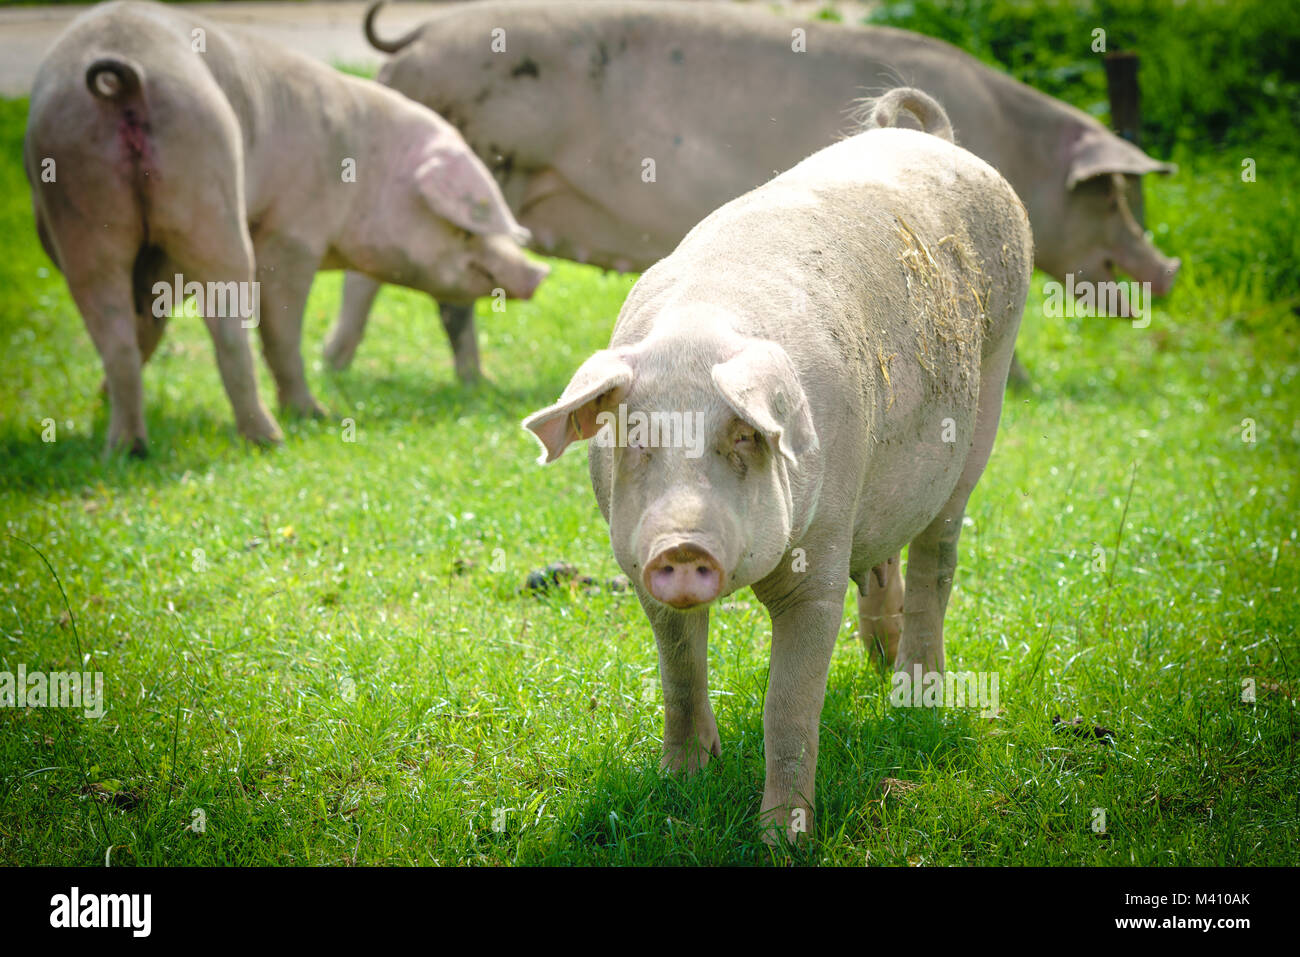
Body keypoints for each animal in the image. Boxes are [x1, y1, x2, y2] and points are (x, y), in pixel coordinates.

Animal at [24, 0, 547, 457]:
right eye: (466, 229)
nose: (537, 274)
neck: (362, 166)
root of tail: (123, 80)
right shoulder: (293, 229)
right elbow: (279, 326)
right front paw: (314, 416)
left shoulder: (162, 260)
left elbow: (148, 328)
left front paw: (99, 404)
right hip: (208, 180)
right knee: (230, 331)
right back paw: (277, 434)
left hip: (82, 205)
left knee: (112, 332)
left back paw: (125, 446)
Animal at [326, 0, 1177, 382]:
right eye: (1111, 197)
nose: (1166, 270)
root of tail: (417, 39)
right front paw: (1024, 382)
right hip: (483, 162)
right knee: (429, 285)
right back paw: (442, 378)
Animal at [522, 88, 1033, 843]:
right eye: (635, 438)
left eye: (743, 438)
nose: (680, 543)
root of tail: (937, 139)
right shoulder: (636, 566)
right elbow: (679, 675)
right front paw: (682, 780)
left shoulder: (819, 558)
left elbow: (789, 704)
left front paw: (781, 839)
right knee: (885, 554)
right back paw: (879, 660)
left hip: (988, 395)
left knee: (936, 555)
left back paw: (915, 696)